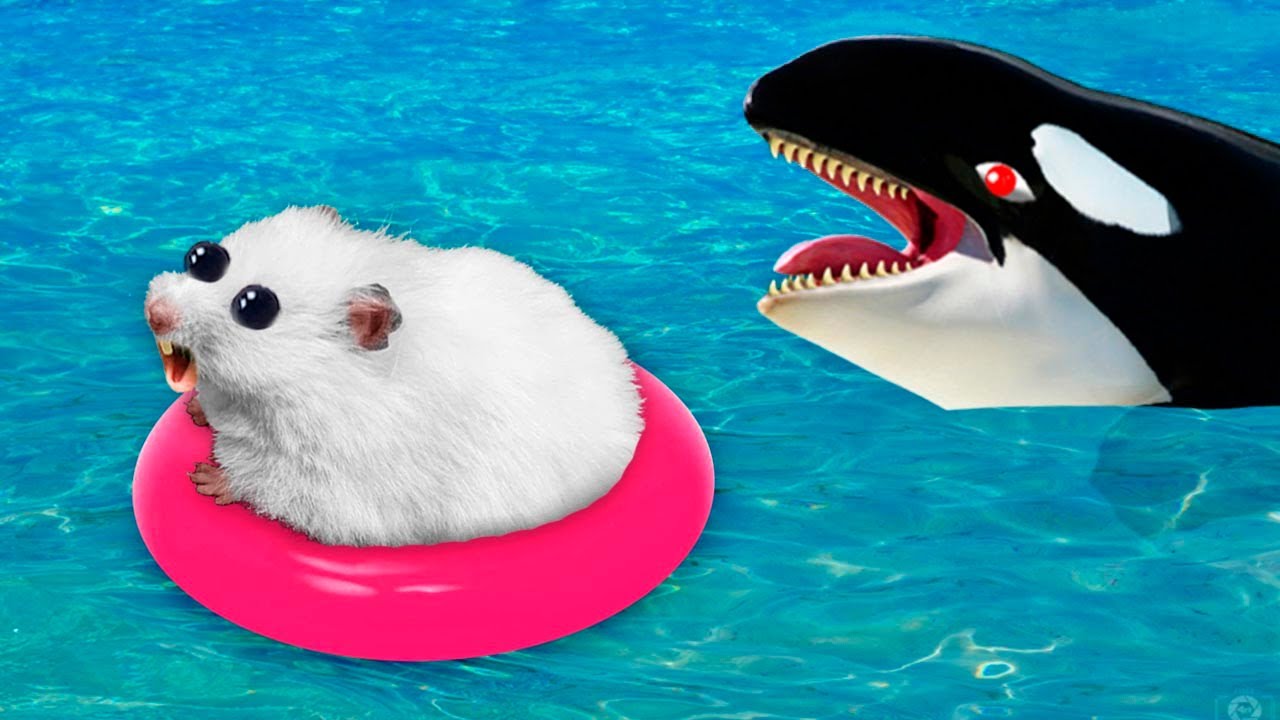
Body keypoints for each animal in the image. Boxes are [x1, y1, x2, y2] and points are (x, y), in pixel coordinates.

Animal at [143, 206, 643, 547]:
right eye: (201, 257)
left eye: (255, 306)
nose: (154, 312)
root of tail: (631, 402)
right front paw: (196, 410)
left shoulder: (337, 486)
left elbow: (268, 481)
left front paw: (204, 478)